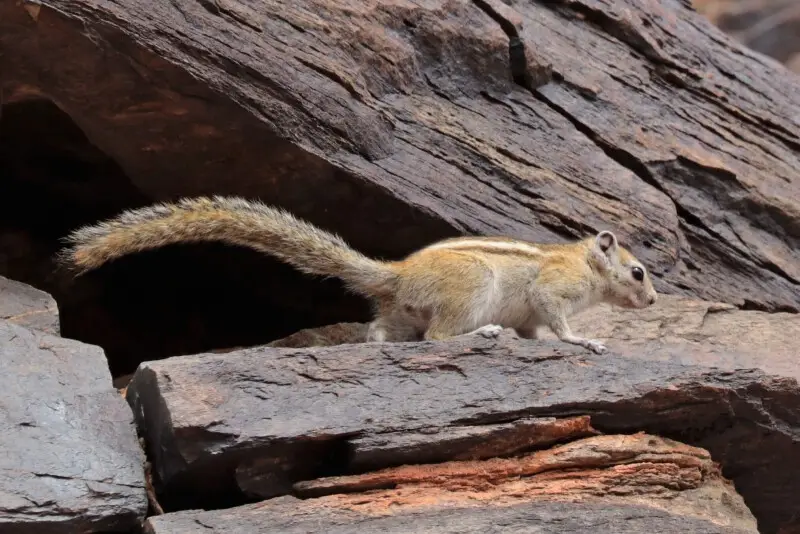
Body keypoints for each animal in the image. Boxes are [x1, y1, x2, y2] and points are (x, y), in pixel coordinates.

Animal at [60, 196, 658, 354]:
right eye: (638, 272)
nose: (653, 303)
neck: (584, 262)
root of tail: (396, 274)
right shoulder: (551, 293)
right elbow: (559, 325)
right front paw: (587, 340)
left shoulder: (532, 314)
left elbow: (536, 332)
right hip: (470, 291)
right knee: (437, 337)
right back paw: (483, 333)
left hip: (401, 312)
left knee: (381, 331)